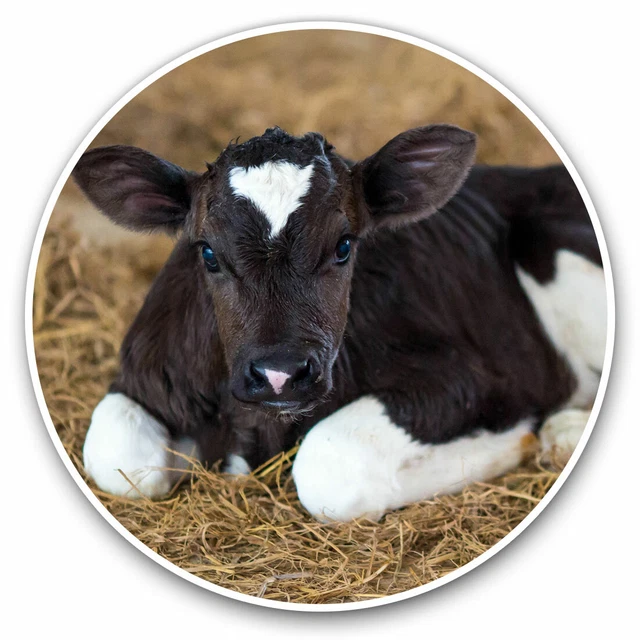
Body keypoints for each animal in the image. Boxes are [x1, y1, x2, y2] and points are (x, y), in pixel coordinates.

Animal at [72, 124, 607, 522]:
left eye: (344, 245)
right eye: (207, 253)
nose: (281, 374)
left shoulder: (478, 379)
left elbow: (328, 463)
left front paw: (514, 442)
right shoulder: (149, 371)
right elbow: (118, 457)